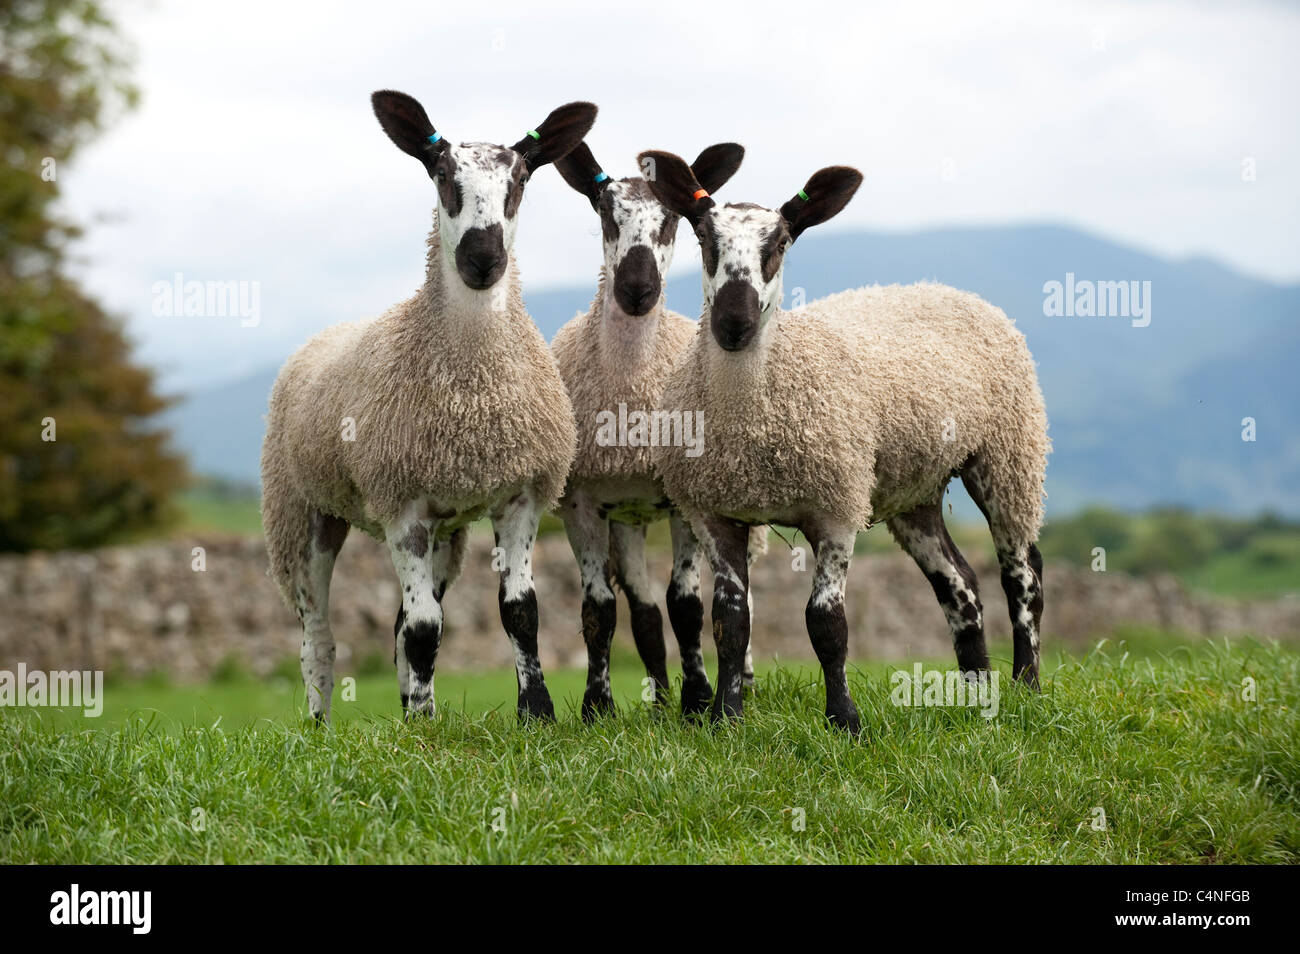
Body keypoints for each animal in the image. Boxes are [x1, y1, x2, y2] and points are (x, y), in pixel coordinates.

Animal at [260, 91, 596, 722]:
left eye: (520, 178)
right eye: (441, 175)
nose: (482, 257)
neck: (473, 388)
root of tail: (321, 336)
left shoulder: (520, 496)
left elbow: (519, 613)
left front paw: (536, 714)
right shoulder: (402, 505)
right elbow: (423, 630)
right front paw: (422, 724)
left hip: (446, 530)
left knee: (399, 626)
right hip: (302, 511)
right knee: (320, 636)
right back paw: (320, 726)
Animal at [548, 140, 766, 719]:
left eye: (671, 220)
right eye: (604, 209)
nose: (637, 288)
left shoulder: (680, 499)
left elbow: (686, 604)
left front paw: (699, 700)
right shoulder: (581, 500)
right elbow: (602, 609)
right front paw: (597, 707)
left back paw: (743, 680)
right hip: (626, 515)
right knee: (642, 610)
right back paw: (659, 699)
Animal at [638, 149, 1050, 732]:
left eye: (780, 244)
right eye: (704, 238)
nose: (733, 323)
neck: (752, 417)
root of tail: (949, 289)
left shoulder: (836, 506)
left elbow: (826, 623)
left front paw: (844, 721)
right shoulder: (716, 513)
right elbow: (730, 622)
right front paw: (725, 720)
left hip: (1008, 451)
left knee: (1022, 571)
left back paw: (1025, 685)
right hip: (913, 489)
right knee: (961, 584)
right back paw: (976, 691)